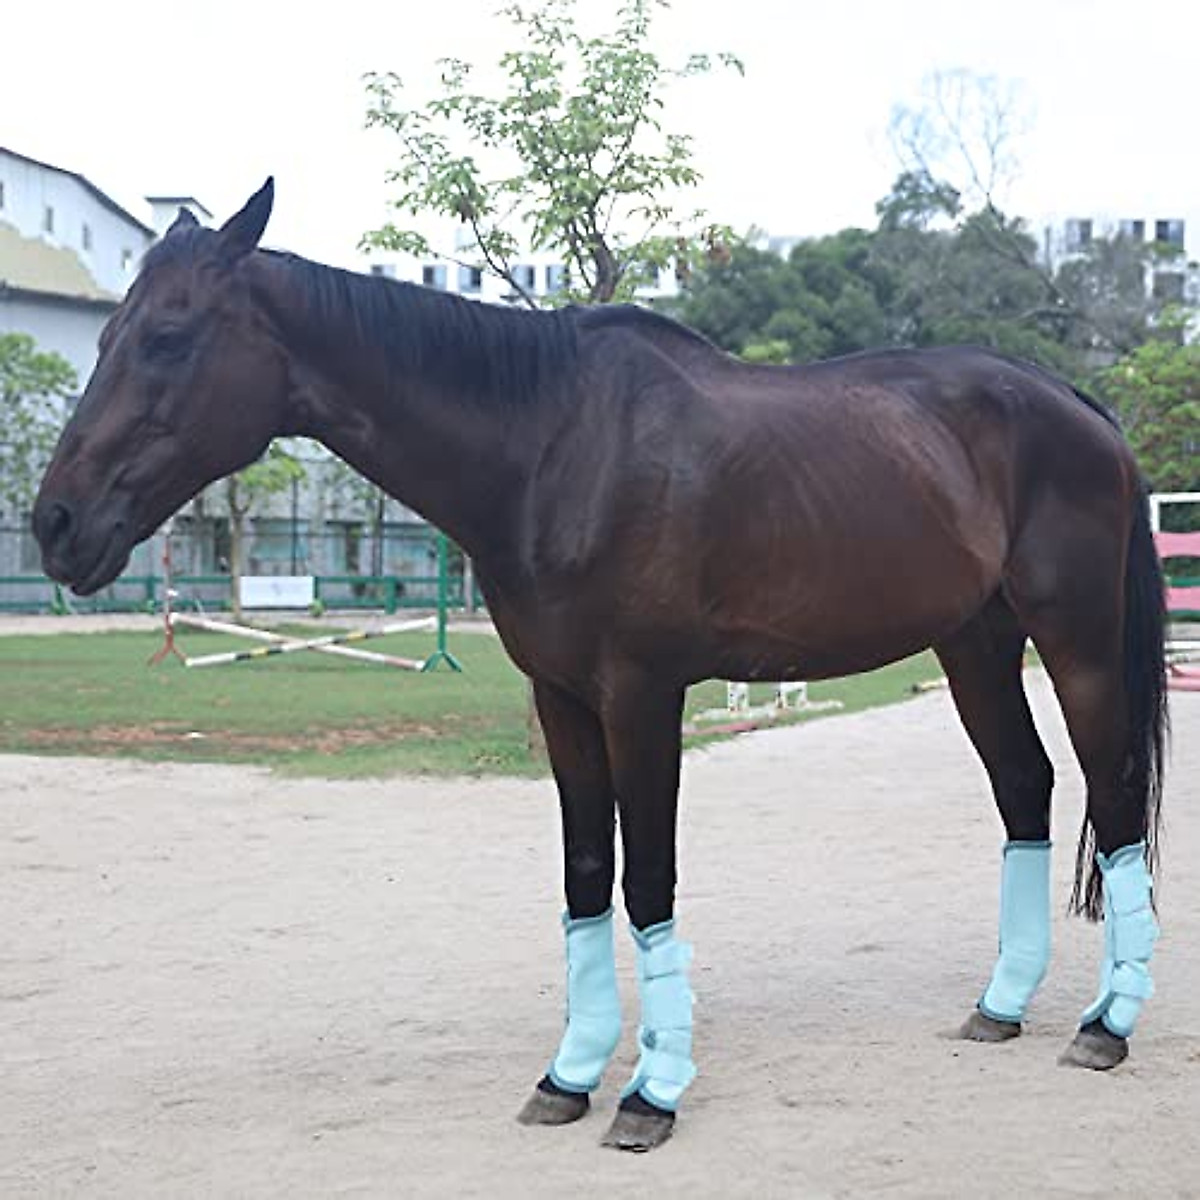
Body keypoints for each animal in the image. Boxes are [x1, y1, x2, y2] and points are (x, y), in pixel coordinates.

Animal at [32, 180, 1168, 1152]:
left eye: (168, 337)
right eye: (107, 335)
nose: (56, 525)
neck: (552, 446)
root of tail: (1075, 402)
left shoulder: (642, 696)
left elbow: (648, 878)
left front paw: (650, 1093)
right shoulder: (563, 699)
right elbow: (585, 876)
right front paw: (568, 1076)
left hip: (1074, 642)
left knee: (1112, 798)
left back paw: (1104, 1026)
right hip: (974, 645)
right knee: (1026, 788)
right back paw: (1001, 1006)